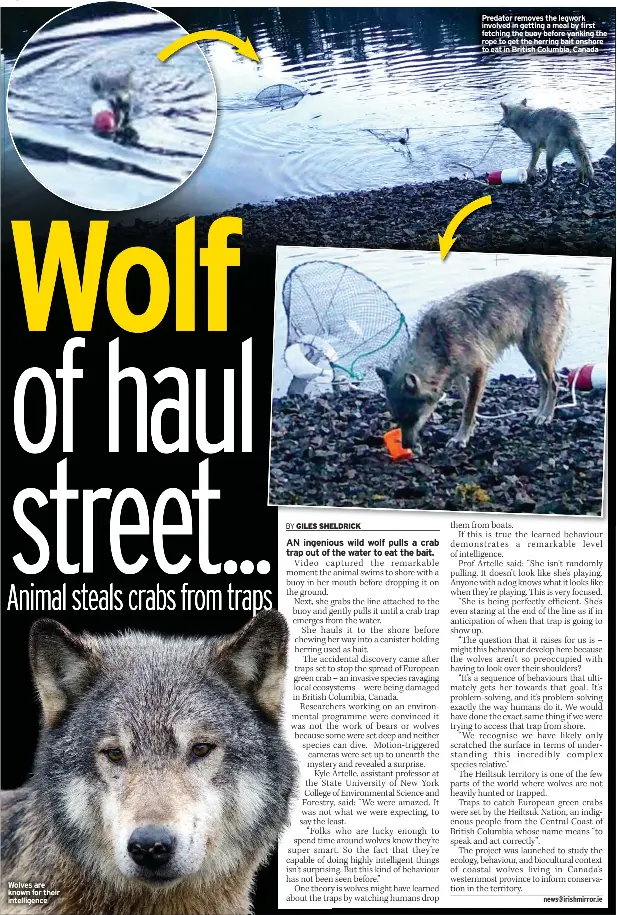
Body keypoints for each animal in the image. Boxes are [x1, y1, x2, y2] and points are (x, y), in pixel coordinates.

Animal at [376, 271, 568, 452]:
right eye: (397, 419)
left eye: (413, 418)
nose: (406, 445)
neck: (440, 341)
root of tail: (555, 281)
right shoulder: (459, 375)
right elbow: (466, 402)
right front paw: (470, 430)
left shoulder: (479, 370)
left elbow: (469, 407)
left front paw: (461, 438)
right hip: (529, 353)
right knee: (544, 382)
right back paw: (539, 413)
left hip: (539, 351)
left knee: (555, 381)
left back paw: (546, 416)